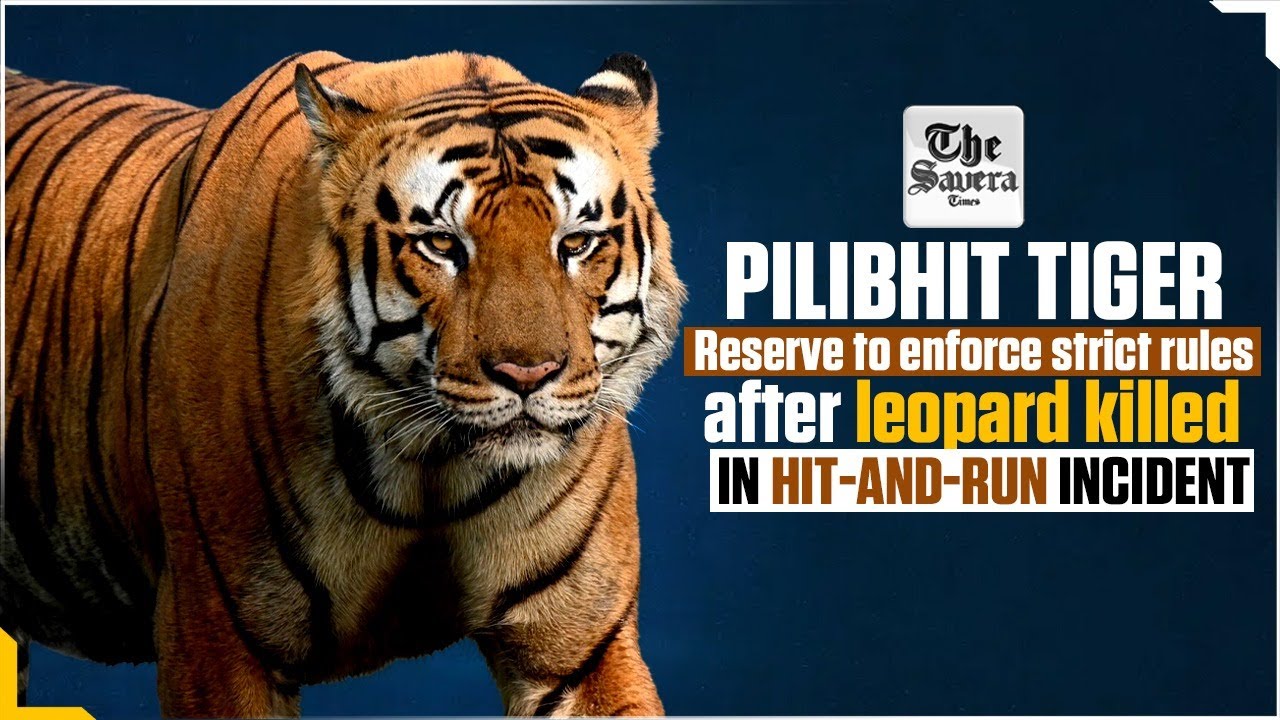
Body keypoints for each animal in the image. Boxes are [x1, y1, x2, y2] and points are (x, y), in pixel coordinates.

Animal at [3, 49, 684, 717]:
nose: (528, 374)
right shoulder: (218, 634)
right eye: (443, 245)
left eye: (577, 242)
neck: (430, 469)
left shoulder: (579, 647)